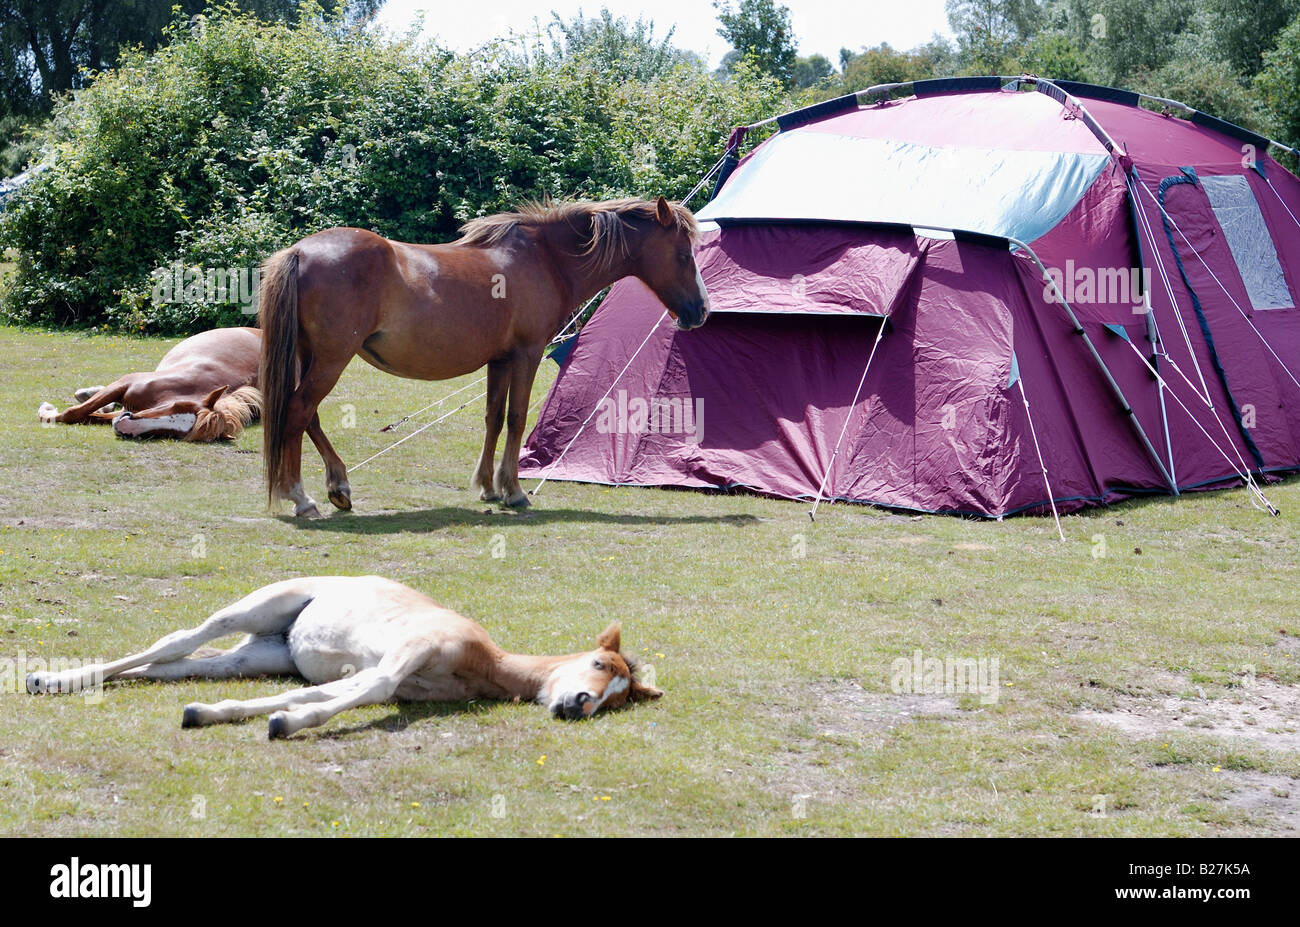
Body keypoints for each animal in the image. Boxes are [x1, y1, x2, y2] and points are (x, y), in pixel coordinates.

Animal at [25, 575, 663, 738]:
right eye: (600, 666)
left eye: (616, 701)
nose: (578, 705)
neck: (482, 660)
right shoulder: (398, 661)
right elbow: (361, 695)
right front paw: (287, 726)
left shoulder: (383, 674)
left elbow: (308, 692)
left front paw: (216, 715)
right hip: (257, 608)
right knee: (178, 639)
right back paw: (48, 680)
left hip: (257, 656)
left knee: (178, 664)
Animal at [37, 326, 263, 441]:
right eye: (177, 405)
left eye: (176, 434)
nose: (125, 426)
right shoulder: (125, 383)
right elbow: (74, 413)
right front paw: (47, 411)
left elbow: (86, 416)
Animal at [258, 196, 709, 518]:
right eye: (683, 255)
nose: (700, 311)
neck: (546, 259)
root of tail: (300, 252)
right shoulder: (527, 354)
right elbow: (517, 417)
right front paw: (514, 491)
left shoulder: (500, 361)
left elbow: (493, 416)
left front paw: (489, 487)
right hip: (332, 359)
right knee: (299, 411)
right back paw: (302, 497)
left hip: (312, 357)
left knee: (308, 416)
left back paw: (338, 487)